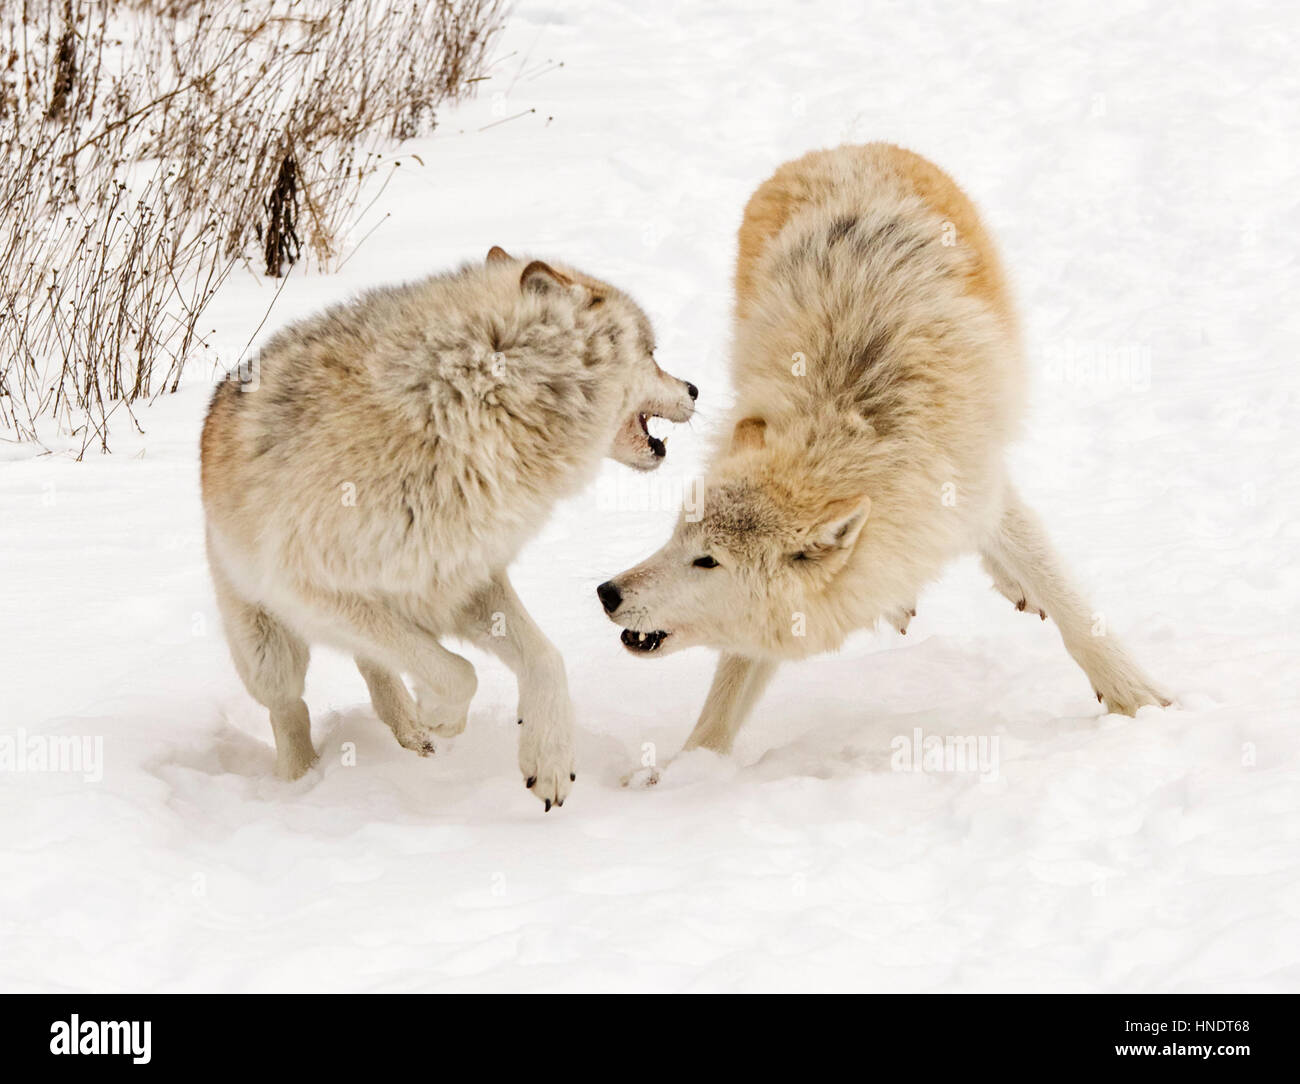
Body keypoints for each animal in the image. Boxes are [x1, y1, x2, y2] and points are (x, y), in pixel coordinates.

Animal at [201, 247, 696, 809]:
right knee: (290, 708)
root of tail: (219, 400)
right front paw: (441, 717)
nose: (695, 389)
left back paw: (411, 738)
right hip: (266, 643)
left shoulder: (461, 582)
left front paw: (548, 760)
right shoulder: (311, 588)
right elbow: (458, 672)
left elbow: (545, 658)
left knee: (373, 668)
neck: (460, 410)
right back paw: (301, 781)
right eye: (652, 351)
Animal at [597, 143, 1168, 772]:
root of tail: (837, 149)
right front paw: (690, 769)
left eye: (708, 562)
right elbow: (729, 689)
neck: (850, 423)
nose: (607, 593)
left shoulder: (973, 485)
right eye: (676, 538)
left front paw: (1141, 701)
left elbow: (1070, 605)